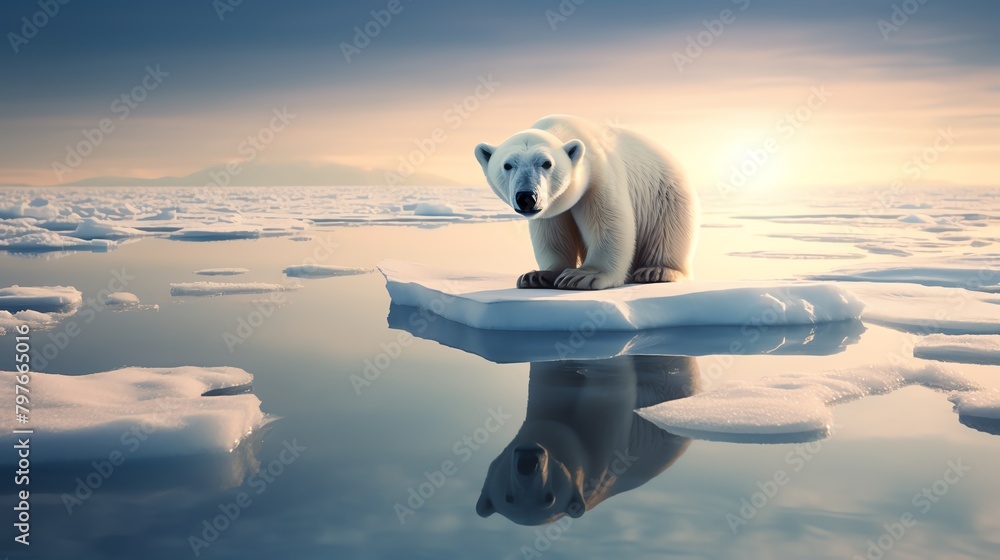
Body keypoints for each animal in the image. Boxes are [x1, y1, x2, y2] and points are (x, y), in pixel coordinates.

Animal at [475, 114, 699, 290]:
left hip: (665, 195)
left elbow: (609, 223)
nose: (527, 197)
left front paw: (583, 276)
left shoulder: (598, 176)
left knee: (668, 231)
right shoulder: (552, 207)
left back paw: (656, 271)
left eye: (547, 163)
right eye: (507, 165)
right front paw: (537, 275)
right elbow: (552, 233)